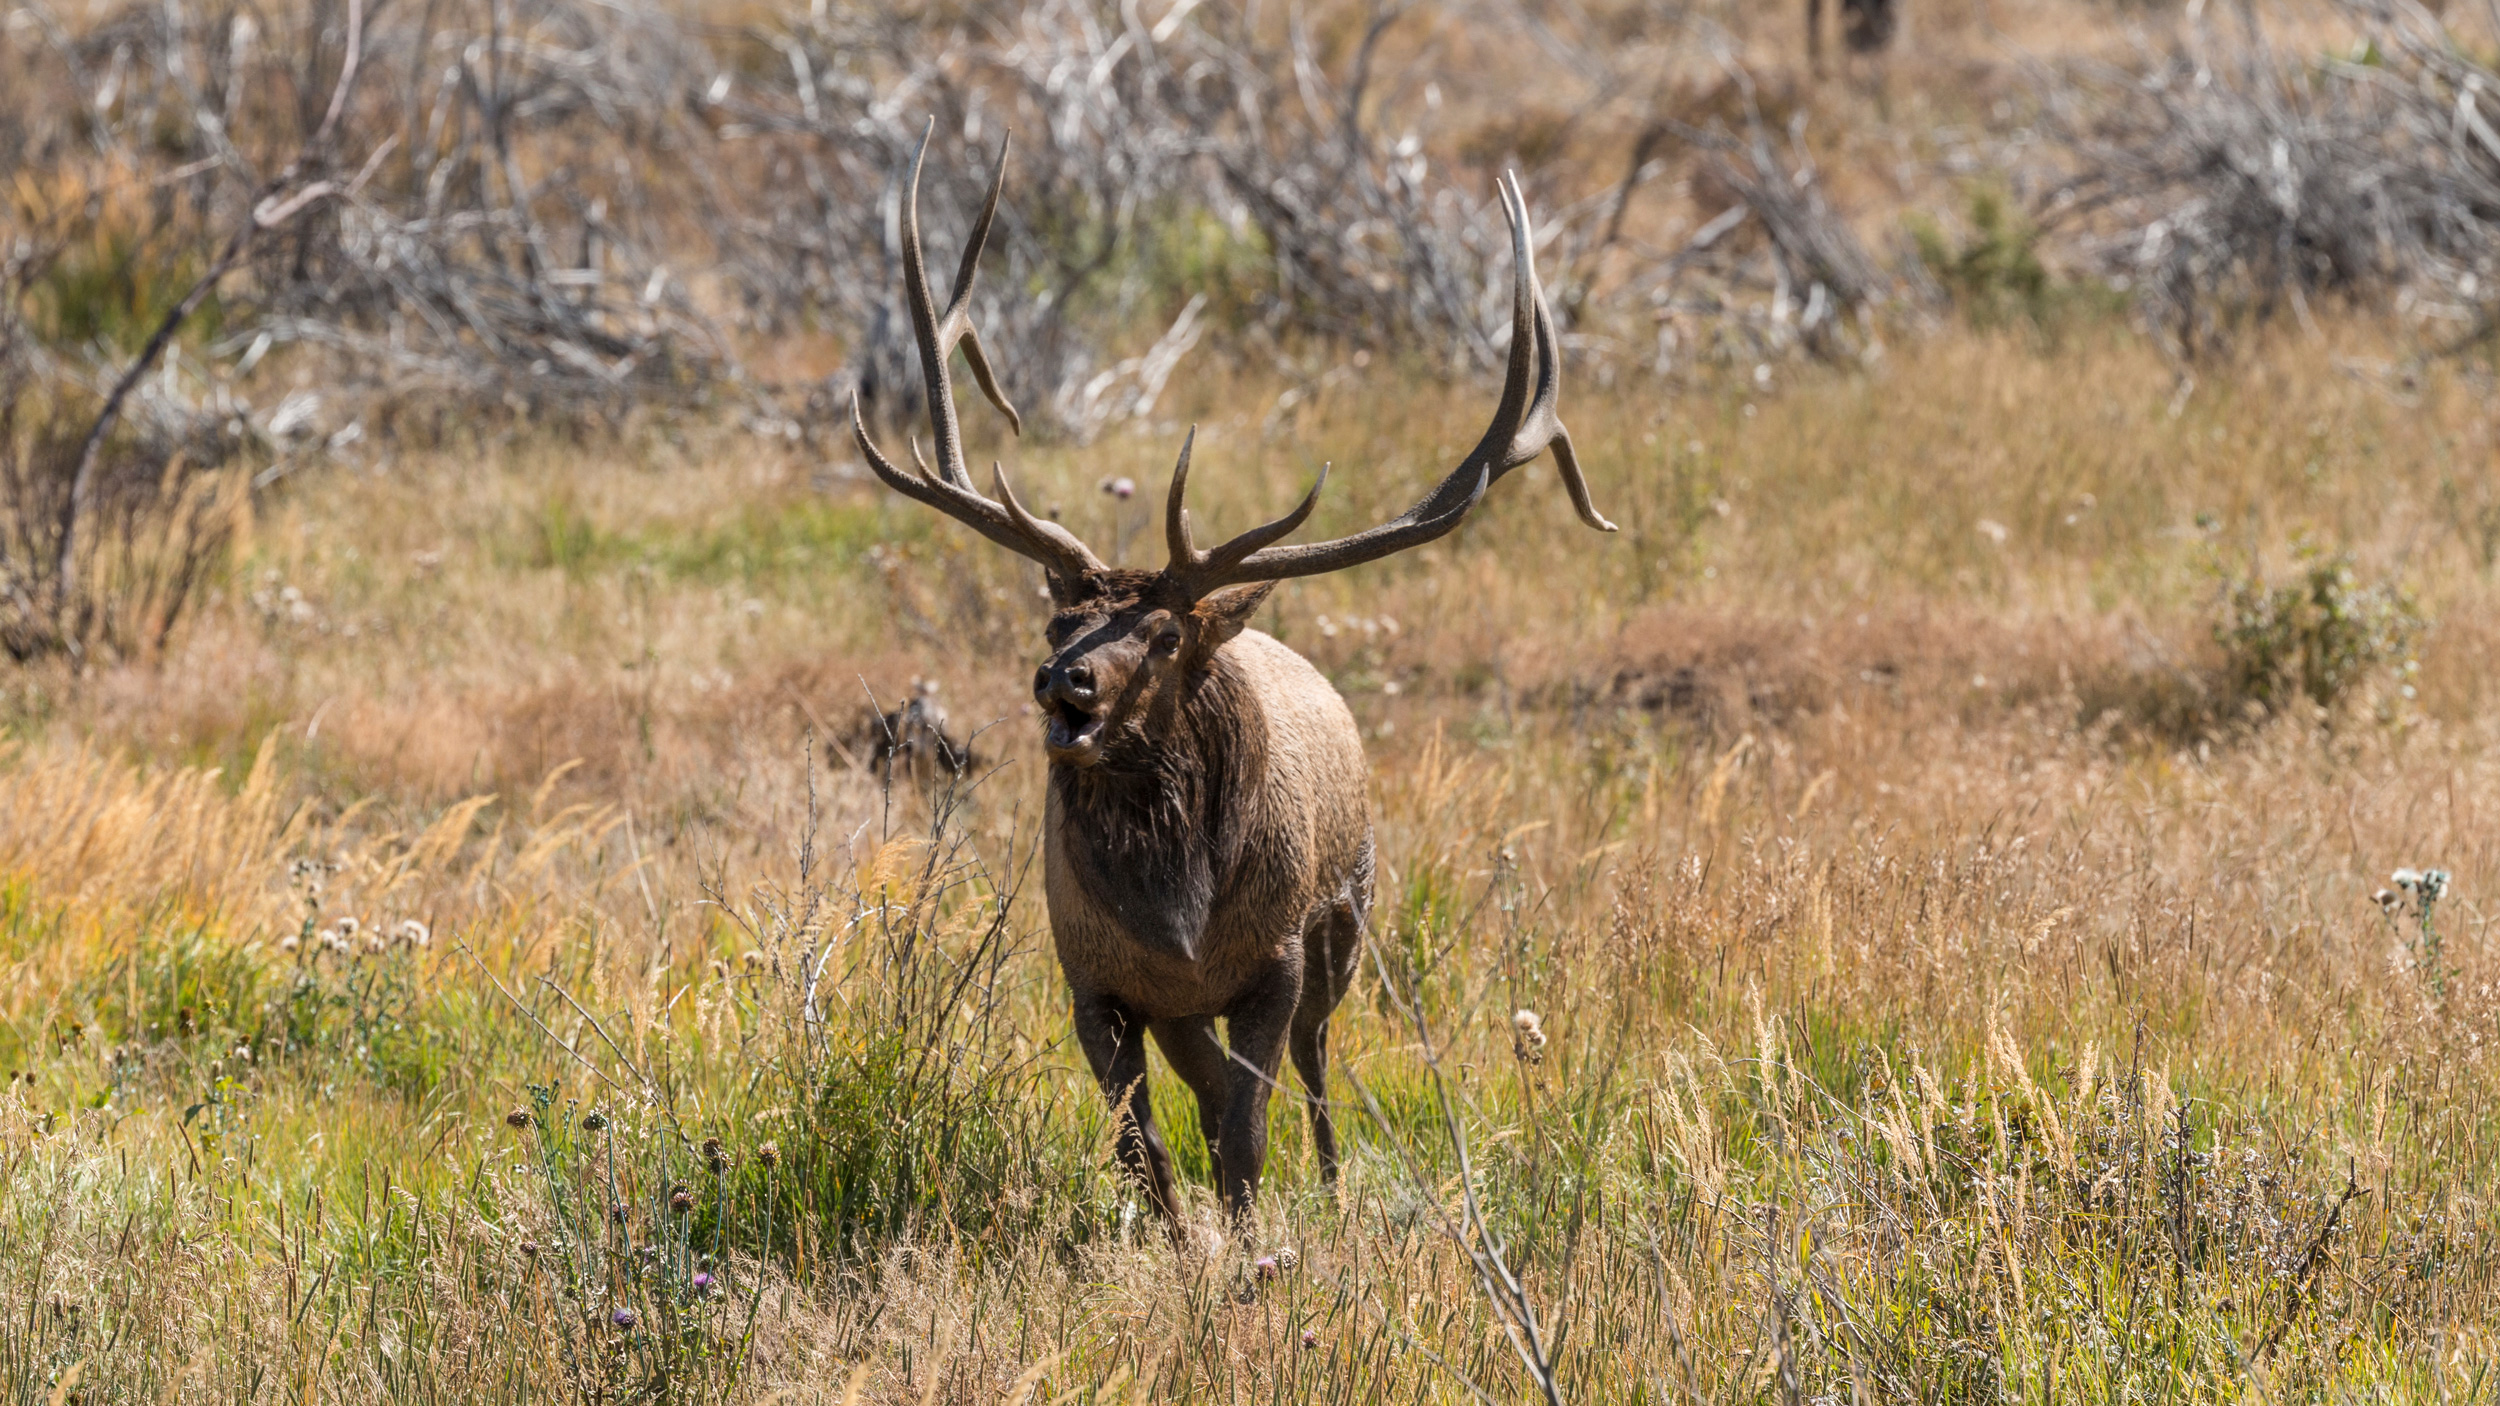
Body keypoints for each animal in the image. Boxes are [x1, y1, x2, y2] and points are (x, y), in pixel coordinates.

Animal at [849, 127, 1615, 1226]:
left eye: (1166, 636)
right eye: (1056, 618)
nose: (1063, 687)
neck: (1178, 926)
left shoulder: (1275, 958)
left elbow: (1247, 1136)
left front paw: (1251, 1242)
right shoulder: (1095, 980)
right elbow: (1146, 1148)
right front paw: (1182, 1241)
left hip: (1349, 919)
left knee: (1314, 1066)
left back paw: (1332, 1183)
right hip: (1197, 999)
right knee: (1208, 1090)